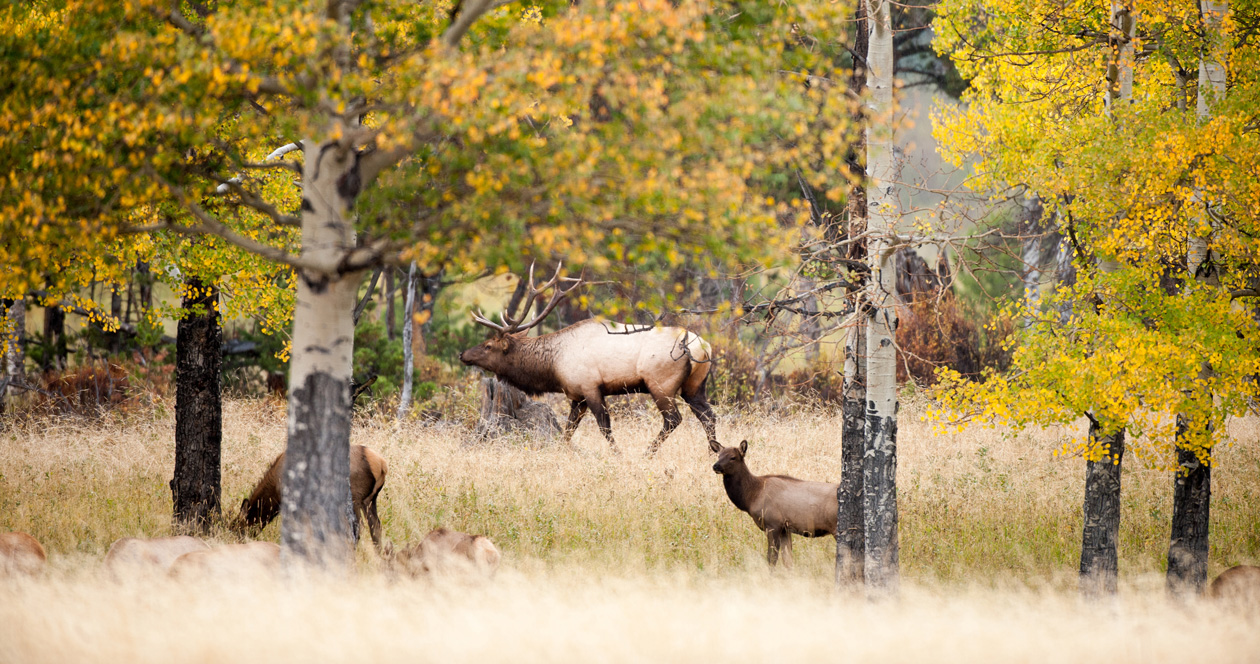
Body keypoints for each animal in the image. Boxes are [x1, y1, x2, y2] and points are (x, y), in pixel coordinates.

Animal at [235, 444, 387, 549]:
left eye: (238, 527)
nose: (237, 541)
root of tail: (382, 465)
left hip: (355, 498)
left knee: (357, 531)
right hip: (370, 501)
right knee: (377, 532)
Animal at [460, 262, 718, 455]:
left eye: (488, 346)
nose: (463, 354)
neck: (553, 367)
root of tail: (703, 347)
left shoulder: (590, 387)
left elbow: (604, 426)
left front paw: (618, 454)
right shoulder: (577, 395)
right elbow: (568, 429)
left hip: (660, 383)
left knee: (673, 419)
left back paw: (648, 453)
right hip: (694, 386)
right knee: (708, 415)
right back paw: (714, 451)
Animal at [709, 439, 838, 568]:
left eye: (733, 457)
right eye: (719, 455)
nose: (715, 466)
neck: (751, 497)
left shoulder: (772, 524)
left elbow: (772, 558)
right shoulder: (785, 528)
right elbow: (788, 560)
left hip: (835, 527)